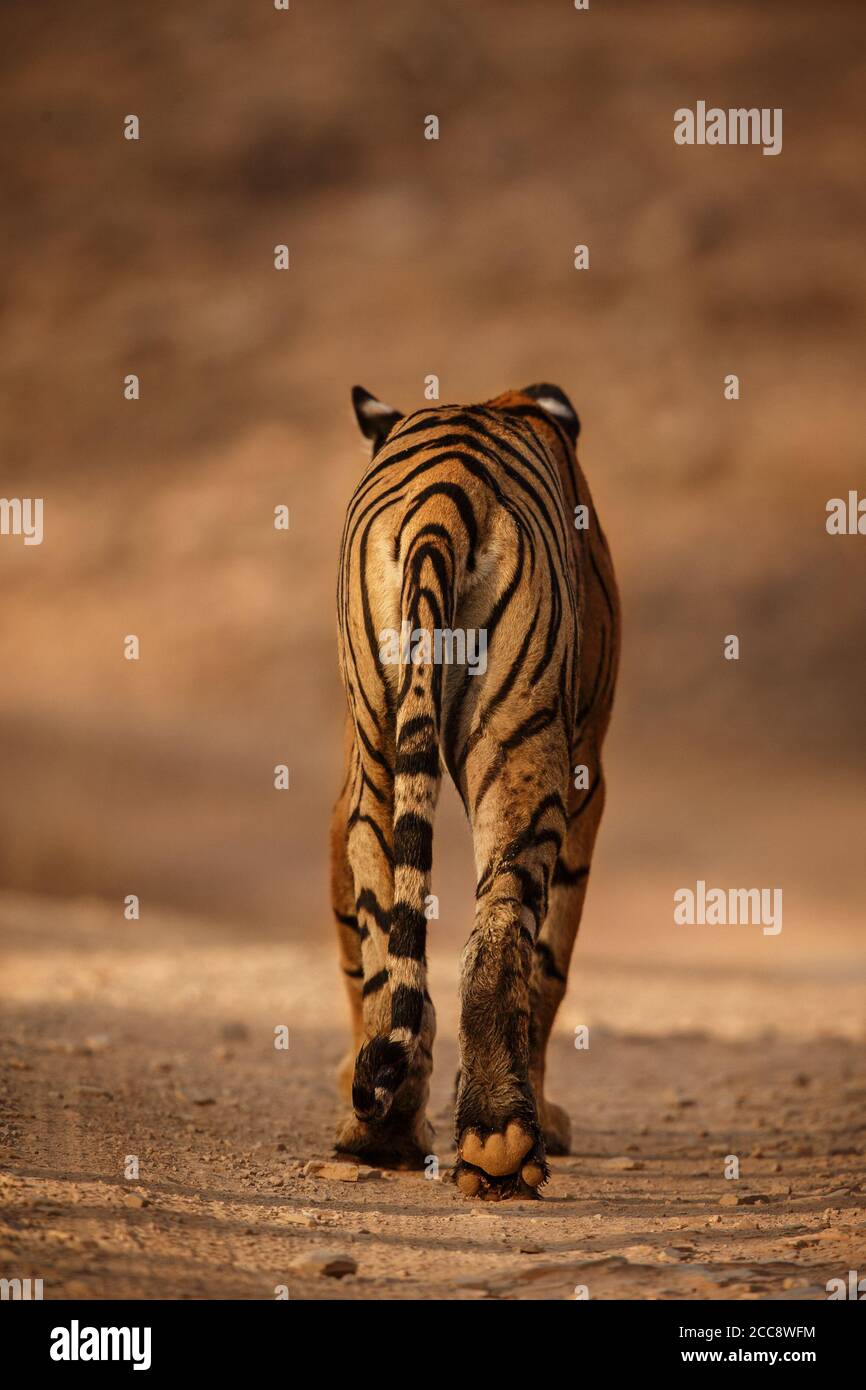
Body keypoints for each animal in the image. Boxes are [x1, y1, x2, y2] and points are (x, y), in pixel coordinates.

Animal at [330, 382, 619, 1199]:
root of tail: (444, 490)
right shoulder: (587, 780)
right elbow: (551, 963)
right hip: (525, 749)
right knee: (499, 936)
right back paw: (501, 1138)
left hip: (380, 759)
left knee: (393, 951)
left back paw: (391, 1131)